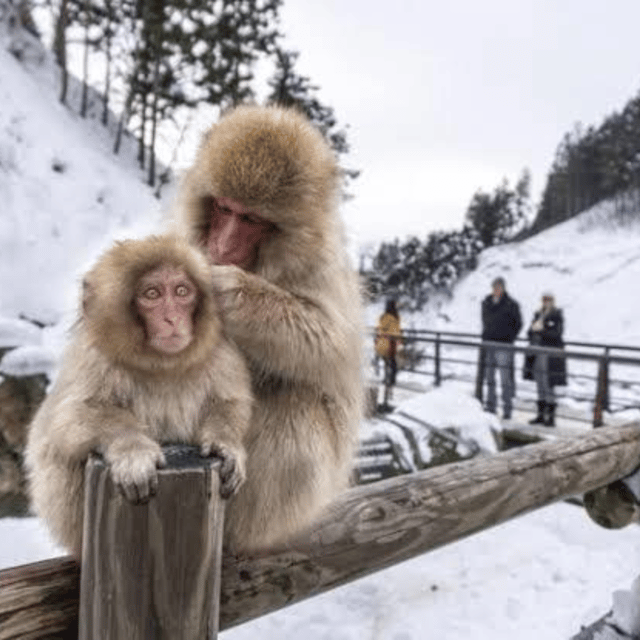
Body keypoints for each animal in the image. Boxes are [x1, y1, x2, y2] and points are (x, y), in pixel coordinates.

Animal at [24, 234, 253, 558]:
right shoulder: (93, 359)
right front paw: (133, 449)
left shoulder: (220, 353)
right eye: (152, 294)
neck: (161, 365)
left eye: (181, 291)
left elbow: (231, 402)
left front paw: (226, 444)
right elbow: (69, 420)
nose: (171, 318)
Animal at [172, 104, 365, 552]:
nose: (223, 245)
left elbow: (330, 343)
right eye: (224, 208)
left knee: (297, 403)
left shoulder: (321, 268)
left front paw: (230, 292)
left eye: (251, 219)